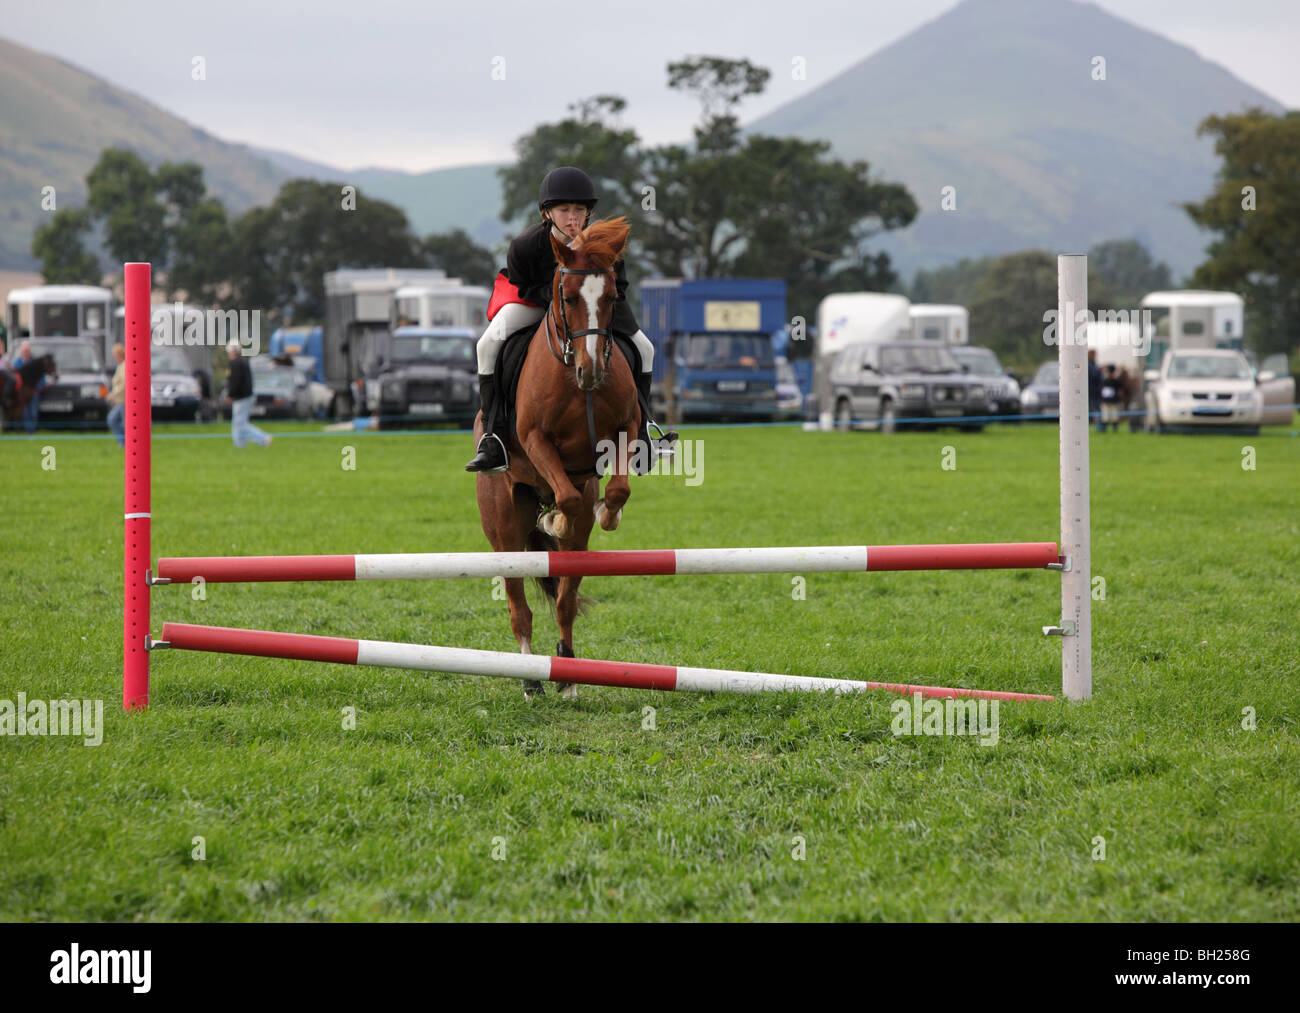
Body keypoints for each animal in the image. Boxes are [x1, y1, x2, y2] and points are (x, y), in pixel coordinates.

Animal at [474, 216, 641, 699]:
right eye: (566, 298)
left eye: (612, 297)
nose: (592, 372)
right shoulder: (535, 438)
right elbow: (564, 500)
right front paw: (556, 520)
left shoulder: (626, 429)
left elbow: (616, 489)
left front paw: (609, 513)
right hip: (504, 527)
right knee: (519, 606)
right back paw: (531, 677)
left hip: (571, 543)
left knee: (565, 600)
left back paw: (565, 673)